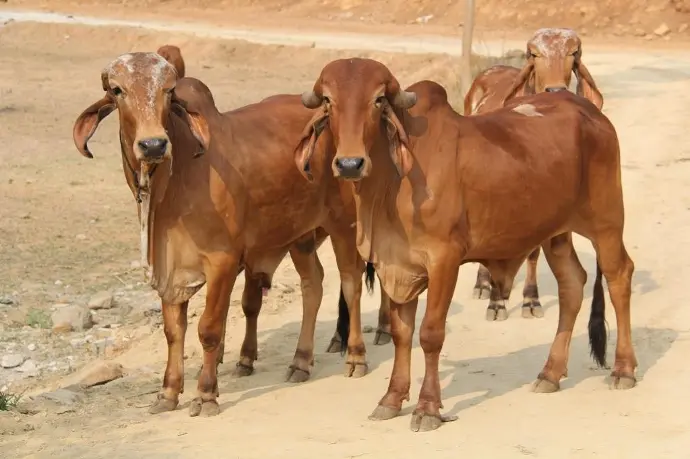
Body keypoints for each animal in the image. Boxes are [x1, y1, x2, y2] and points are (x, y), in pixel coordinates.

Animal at [71, 48, 390, 418]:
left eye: (169, 91)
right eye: (117, 90)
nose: (152, 145)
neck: (175, 179)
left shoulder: (222, 261)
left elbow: (209, 329)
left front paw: (206, 394)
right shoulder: (169, 269)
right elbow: (173, 332)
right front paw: (168, 392)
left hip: (342, 224)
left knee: (351, 282)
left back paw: (355, 355)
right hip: (300, 235)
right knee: (313, 285)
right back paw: (300, 361)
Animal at [294, 57, 636, 432]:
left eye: (378, 100)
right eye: (329, 101)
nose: (349, 164)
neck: (391, 185)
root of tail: (591, 113)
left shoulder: (444, 259)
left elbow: (430, 334)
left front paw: (428, 408)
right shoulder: (397, 265)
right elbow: (402, 334)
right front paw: (391, 399)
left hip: (607, 221)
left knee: (620, 277)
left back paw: (624, 369)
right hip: (555, 233)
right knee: (573, 284)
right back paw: (550, 373)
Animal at [463, 28, 604, 321]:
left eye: (573, 52)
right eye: (535, 54)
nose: (555, 90)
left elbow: (533, 253)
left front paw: (531, 299)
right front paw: (496, 303)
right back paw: (482, 285)